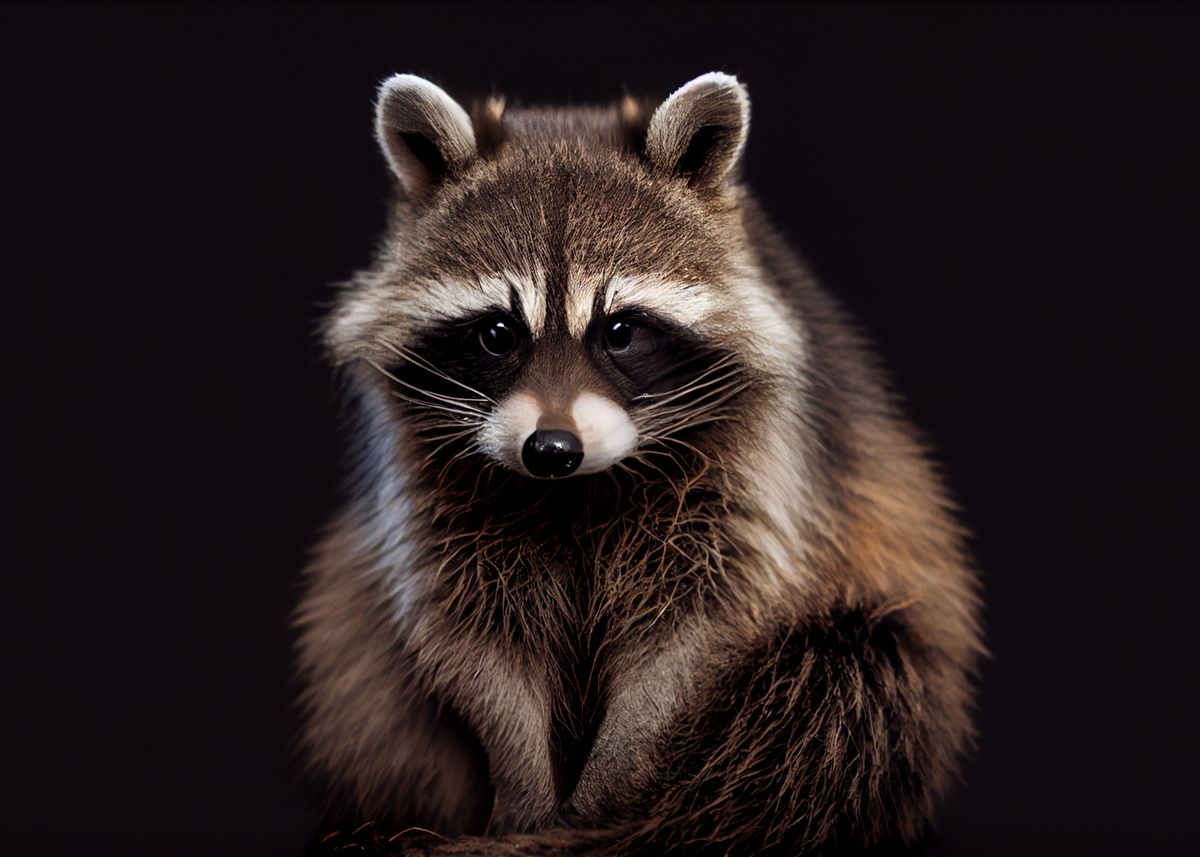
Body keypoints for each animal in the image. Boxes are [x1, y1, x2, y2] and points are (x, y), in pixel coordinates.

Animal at [296, 72, 983, 855]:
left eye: (620, 331)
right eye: (498, 333)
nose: (551, 449)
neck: (575, 491)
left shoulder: (754, 470)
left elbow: (688, 644)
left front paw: (604, 798)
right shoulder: (427, 486)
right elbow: (476, 644)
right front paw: (525, 796)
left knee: (837, 697)